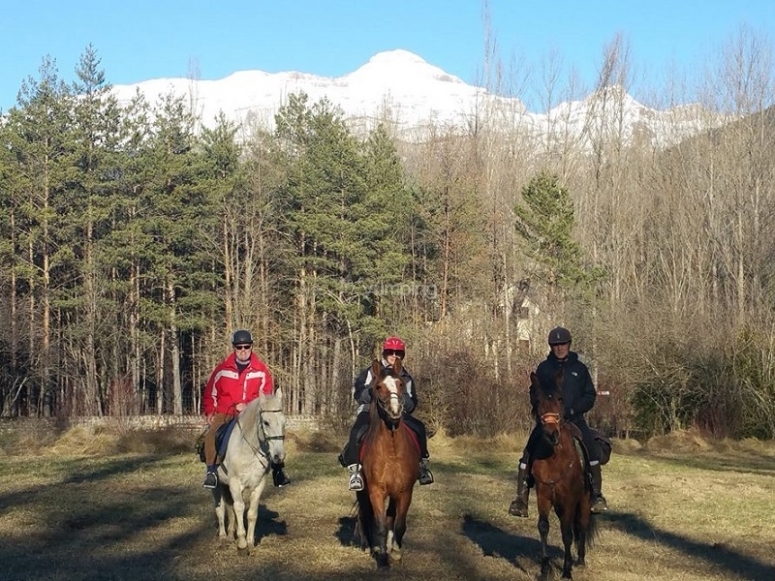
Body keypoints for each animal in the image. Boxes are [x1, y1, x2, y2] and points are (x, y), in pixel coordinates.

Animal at [212, 388, 286, 552]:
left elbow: (252, 512)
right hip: (217, 485)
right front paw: (242, 543)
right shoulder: (234, 483)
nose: (279, 456)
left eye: (284, 422)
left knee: (229, 507)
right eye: (266, 422)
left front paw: (250, 541)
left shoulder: (258, 484)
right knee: (220, 509)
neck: (249, 450)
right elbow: (239, 508)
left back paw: (230, 534)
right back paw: (223, 536)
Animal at [355, 358, 420, 568]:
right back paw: (371, 545)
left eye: (400, 384)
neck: (391, 451)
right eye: (377, 387)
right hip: (363, 491)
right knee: (366, 515)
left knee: (391, 517)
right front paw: (382, 557)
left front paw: (396, 552)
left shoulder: (405, 492)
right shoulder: (376, 491)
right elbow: (380, 524)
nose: (395, 410)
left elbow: (398, 524)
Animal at [530, 372, 598, 580]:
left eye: (560, 399)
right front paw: (545, 568)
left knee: (581, 527)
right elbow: (543, 526)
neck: (554, 456)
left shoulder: (569, 499)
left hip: (584, 502)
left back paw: (580, 560)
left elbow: (567, 533)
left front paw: (567, 570)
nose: (552, 434)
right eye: (537, 400)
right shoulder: (544, 495)